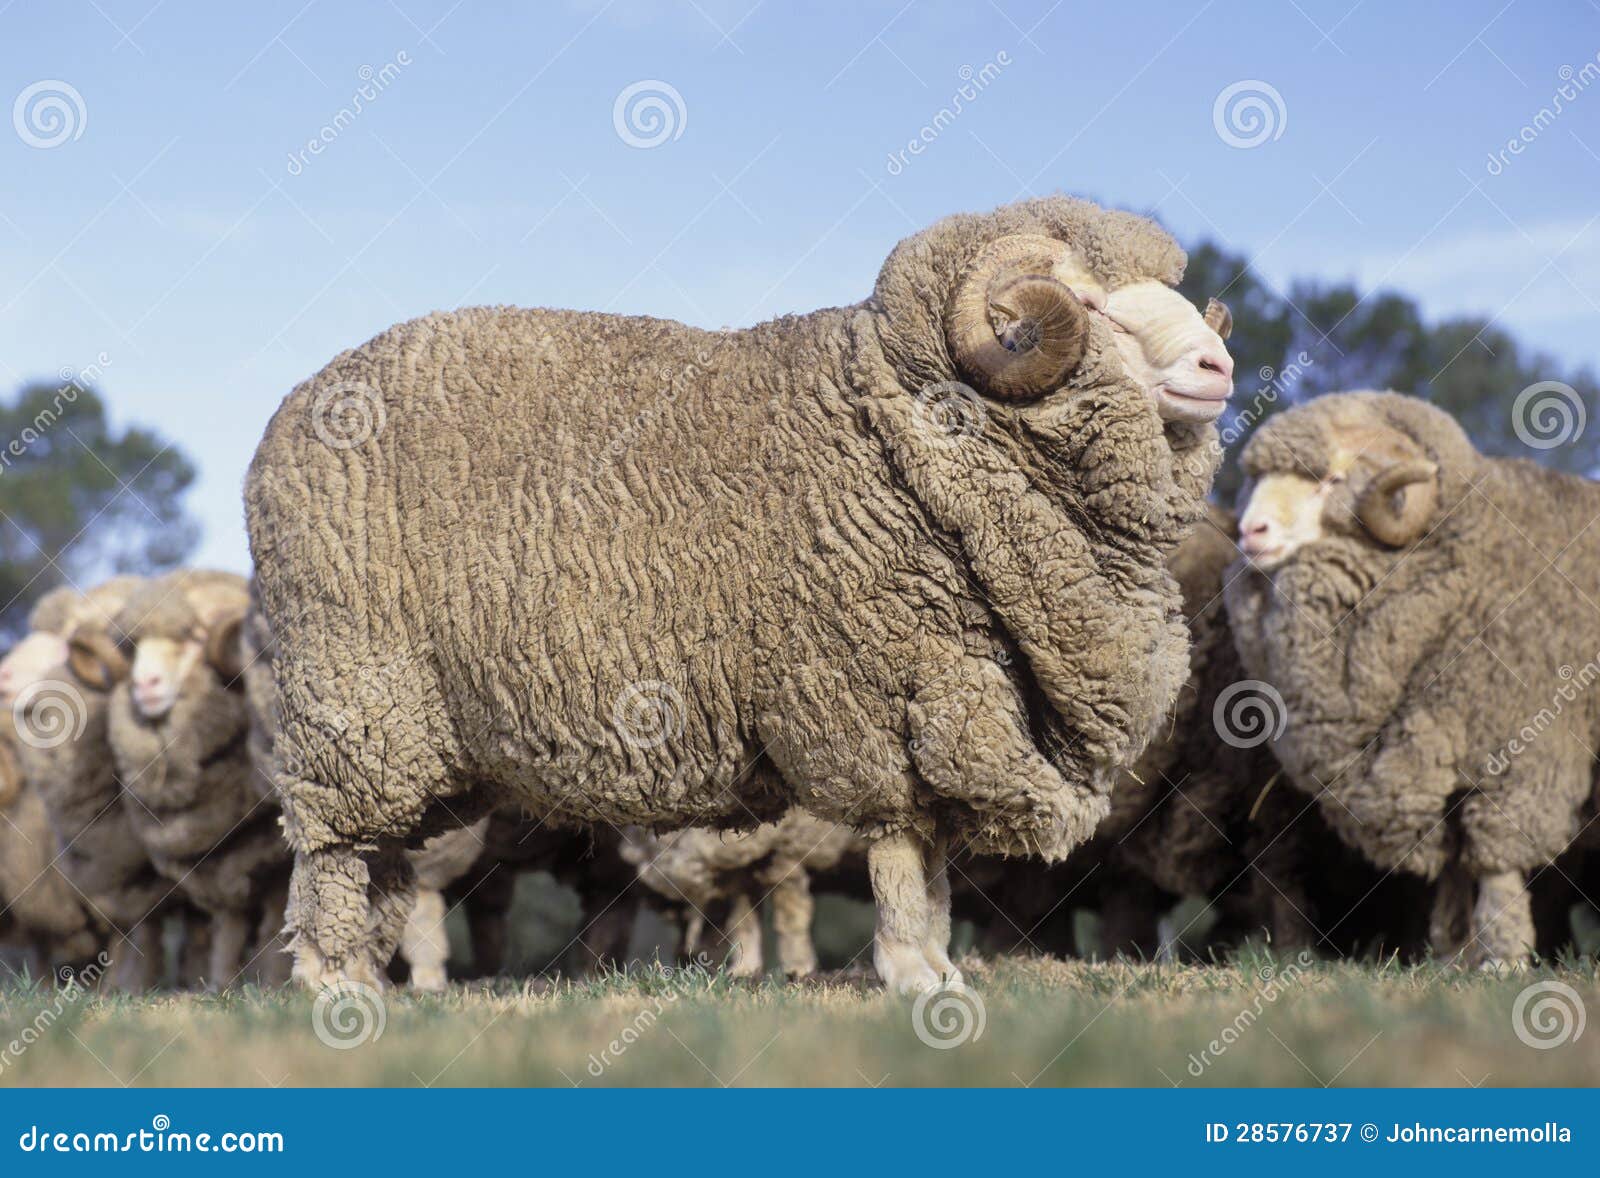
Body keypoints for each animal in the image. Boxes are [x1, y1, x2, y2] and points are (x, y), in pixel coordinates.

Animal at [104, 570, 292, 989]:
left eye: (192, 636)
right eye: (133, 647)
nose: (144, 685)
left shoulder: (273, 862)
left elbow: (273, 927)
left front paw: (273, 981)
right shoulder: (217, 871)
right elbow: (227, 930)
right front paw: (221, 985)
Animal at [621, 811, 868, 978]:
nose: (684, 959)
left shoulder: (785, 850)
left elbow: (790, 920)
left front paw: (798, 969)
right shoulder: (744, 870)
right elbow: (743, 922)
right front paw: (744, 971)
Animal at [1224, 390, 1600, 967]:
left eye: (1332, 480)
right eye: (1258, 480)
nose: (1251, 533)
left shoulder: (1524, 750)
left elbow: (1495, 859)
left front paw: (1503, 954)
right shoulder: (1417, 766)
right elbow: (1450, 867)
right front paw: (1450, 954)